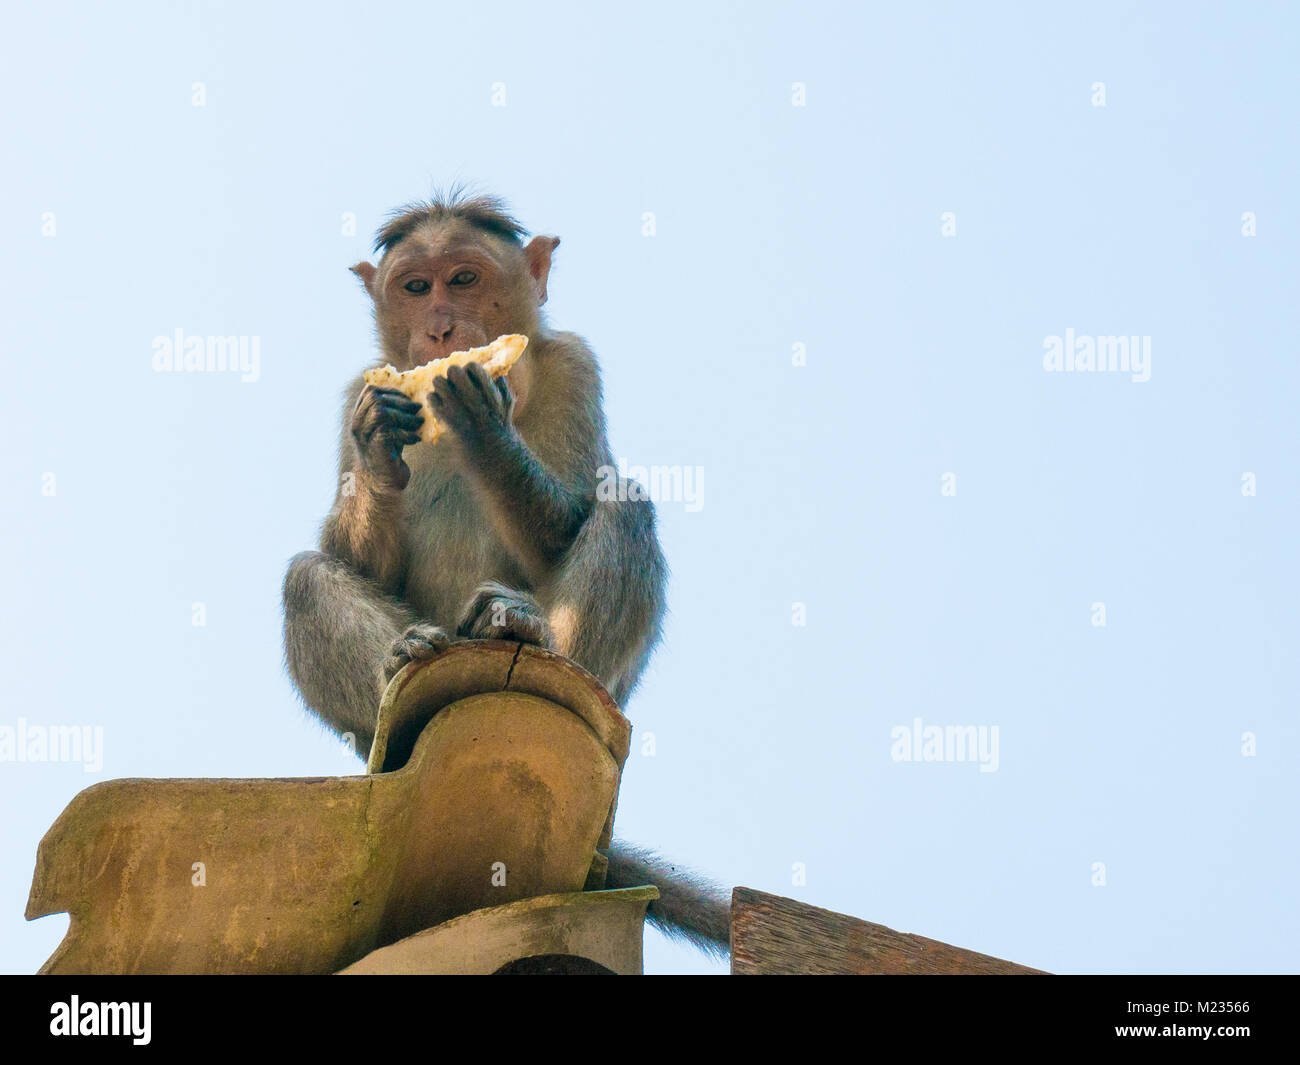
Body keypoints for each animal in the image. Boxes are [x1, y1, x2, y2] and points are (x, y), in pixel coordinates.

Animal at [282, 189, 729, 958]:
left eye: (464, 279)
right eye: (415, 286)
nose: (441, 328)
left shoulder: (577, 365)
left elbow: (572, 514)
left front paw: (484, 427)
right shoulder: (350, 393)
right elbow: (352, 558)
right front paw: (378, 446)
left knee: (624, 506)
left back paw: (527, 632)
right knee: (308, 577)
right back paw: (403, 659)